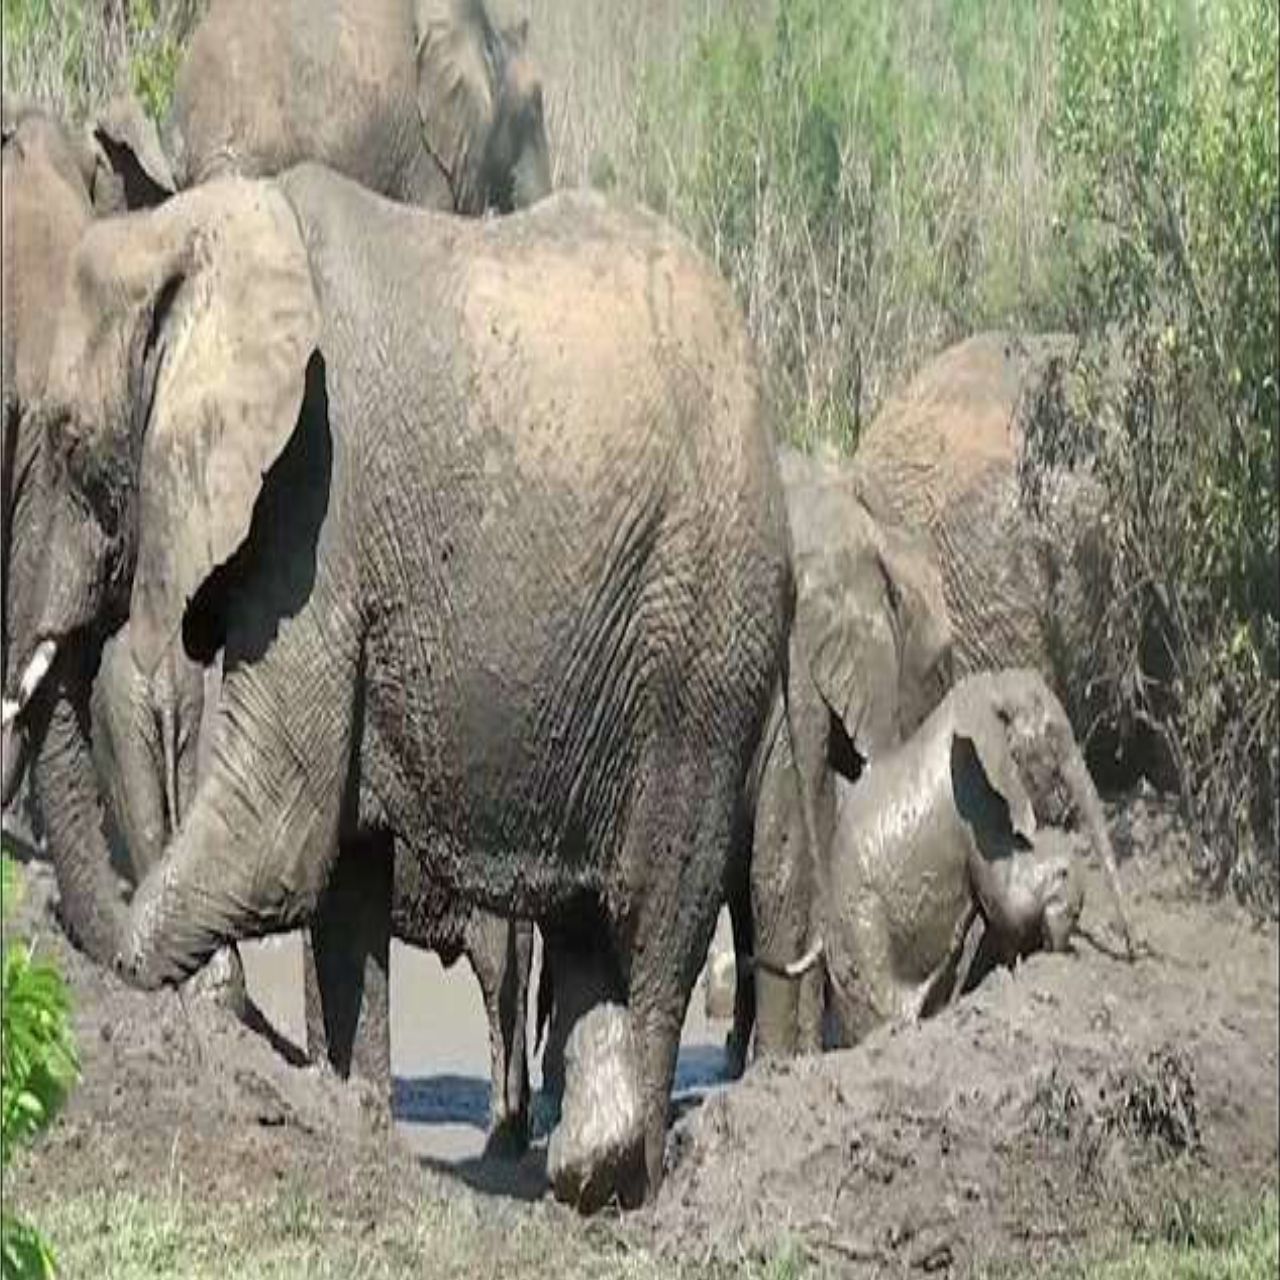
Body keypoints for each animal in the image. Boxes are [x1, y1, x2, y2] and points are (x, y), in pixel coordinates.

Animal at [4, 166, 792, 1203]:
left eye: (66, 440)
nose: (48, 914)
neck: (197, 229)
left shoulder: (314, 513)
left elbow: (282, 833)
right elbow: (340, 881)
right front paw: (353, 1118)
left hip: (703, 638)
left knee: (655, 912)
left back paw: (627, 1188)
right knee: (586, 926)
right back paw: (584, 1166)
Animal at [806, 669, 1132, 1047]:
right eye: (1052, 734)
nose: (1133, 950)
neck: (992, 689)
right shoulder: (975, 799)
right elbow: (1008, 904)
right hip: (861, 929)